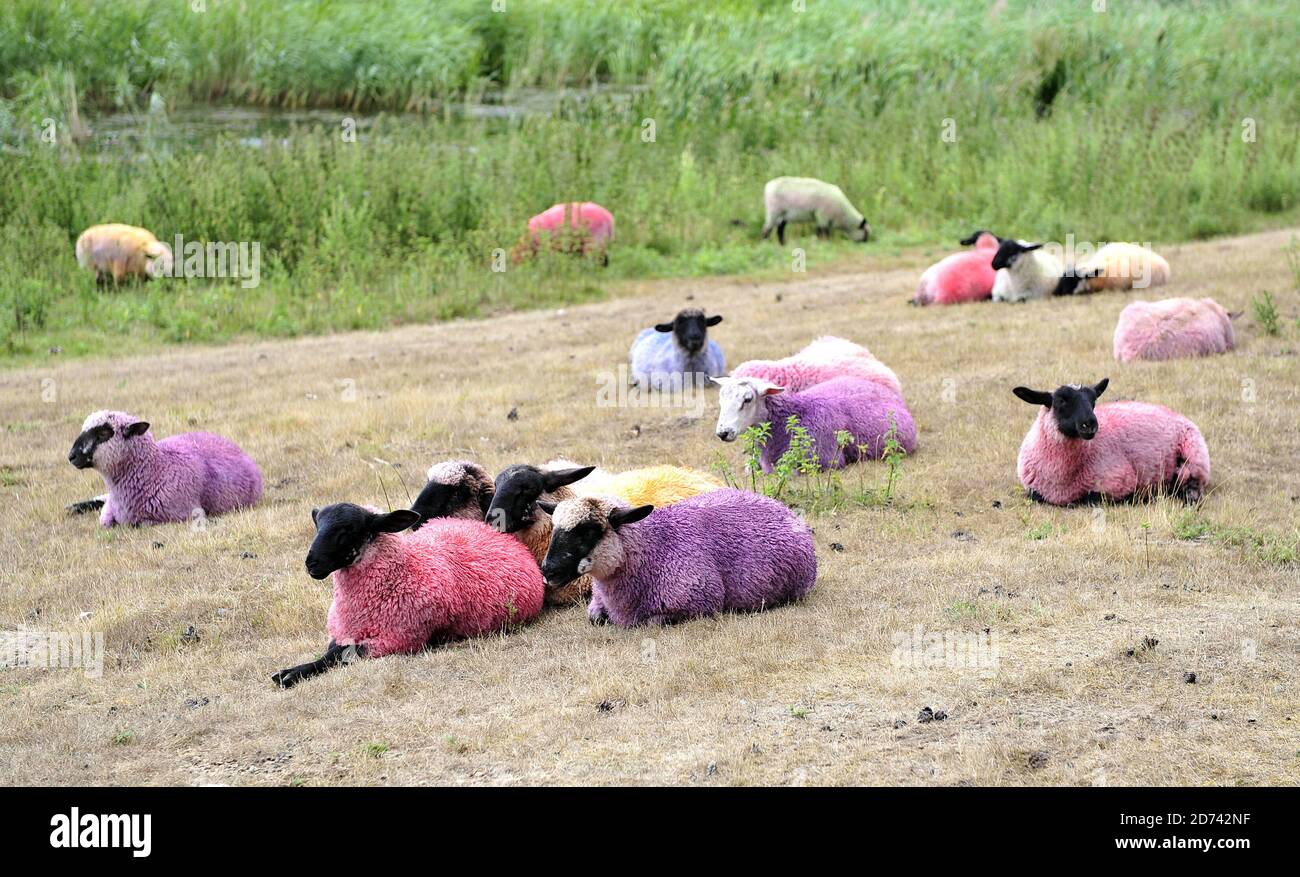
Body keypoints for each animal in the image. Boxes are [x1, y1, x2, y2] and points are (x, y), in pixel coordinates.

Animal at [67, 410, 261, 527]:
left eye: (103, 433)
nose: (71, 456)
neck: (158, 467)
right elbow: (105, 520)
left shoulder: (181, 514)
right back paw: (74, 507)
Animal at [271, 505, 544, 687]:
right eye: (318, 525)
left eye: (349, 529)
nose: (311, 563)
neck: (405, 568)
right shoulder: (344, 631)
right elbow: (332, 651)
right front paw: (291, 671)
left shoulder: (398, 641)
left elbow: (341, 655)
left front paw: (291, 675)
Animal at [538, 490, 817, 627]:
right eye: (554, 527)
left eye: (589, 531)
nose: (548, 571)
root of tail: (783, 507)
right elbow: (595, 618)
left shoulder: (698, 602)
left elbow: (652, 623)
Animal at [1012, 378, 1210, 505]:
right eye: (1061, 401)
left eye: (1093, 400)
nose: (1090, 424)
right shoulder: (1033, 488)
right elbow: (1036, 496)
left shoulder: (1119, 480)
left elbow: (1090, 498)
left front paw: (1139, 496)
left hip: (1195, 454)